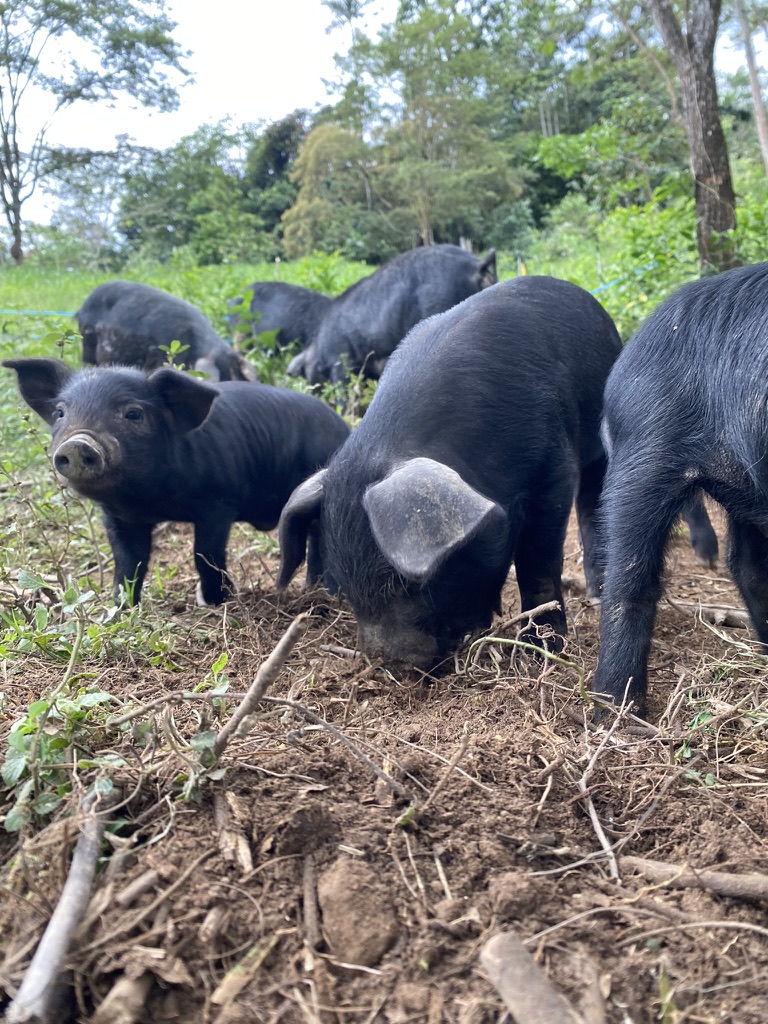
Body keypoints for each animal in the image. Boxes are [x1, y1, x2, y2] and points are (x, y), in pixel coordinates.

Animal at [3, 358, 350, 606]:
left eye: (133, 414)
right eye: (60, 413)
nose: (78, 444)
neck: (152, 499)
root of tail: (343, 427)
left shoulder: (218, 504)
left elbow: (204, 554)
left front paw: (216, 601)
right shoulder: (119, 518)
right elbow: (128, 562)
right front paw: (120, 608)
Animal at [277, 276, 622, 669]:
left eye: (409, 584)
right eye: (347, 584)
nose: (390, 661)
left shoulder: (553, 469)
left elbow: (537, 562)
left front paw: (541, 650)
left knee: (593, 504)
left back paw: (597, 596)